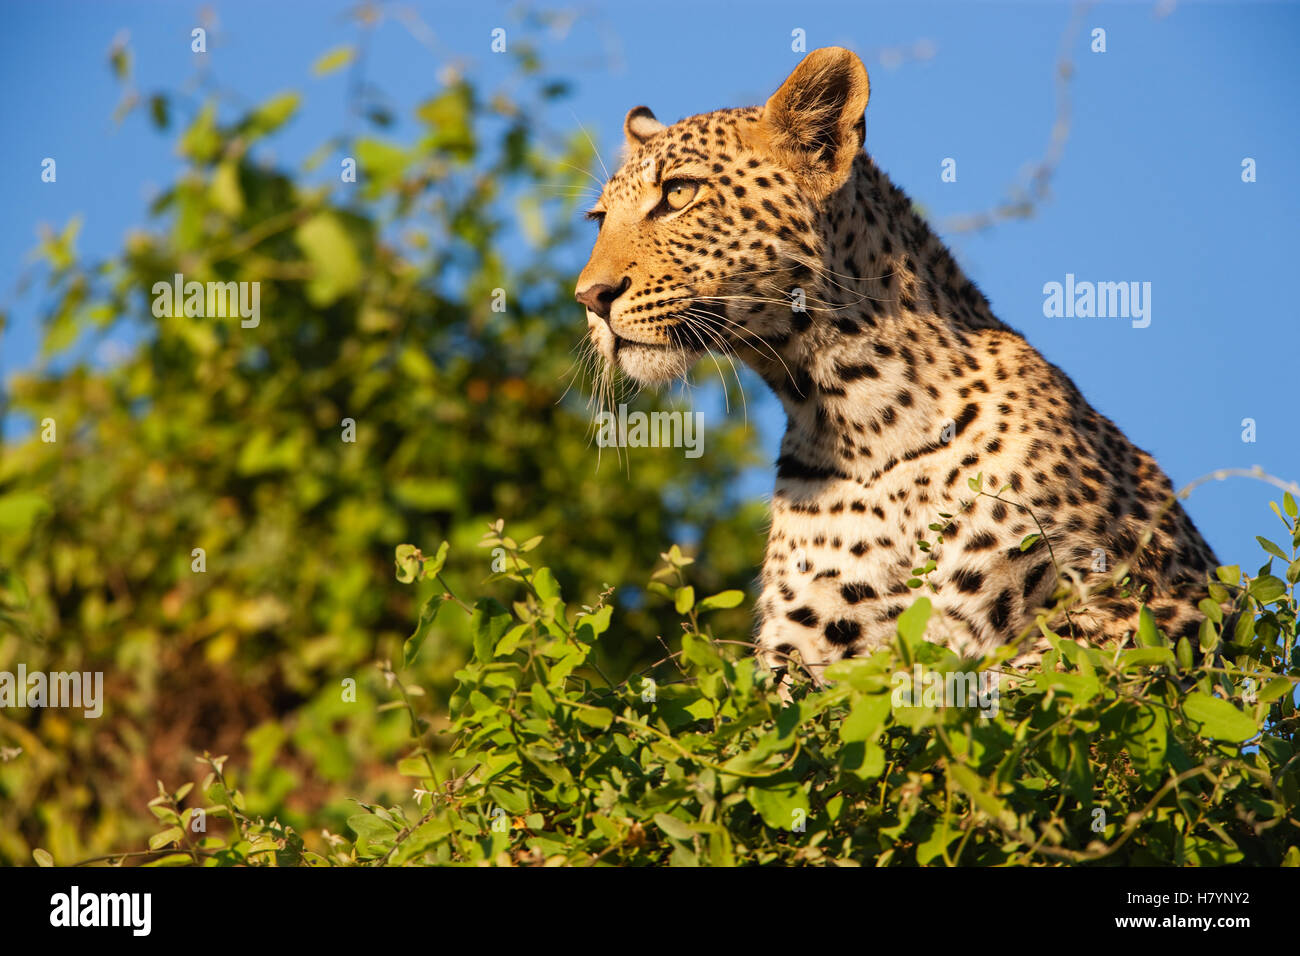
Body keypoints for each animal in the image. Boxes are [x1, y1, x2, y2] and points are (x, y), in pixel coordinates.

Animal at [574, 47, 1220, 691]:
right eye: (599, 219)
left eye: (679, 193)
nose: (589, 297)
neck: (851, 412)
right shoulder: (806, 653)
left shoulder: (1142, 604)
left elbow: (1044, 671)